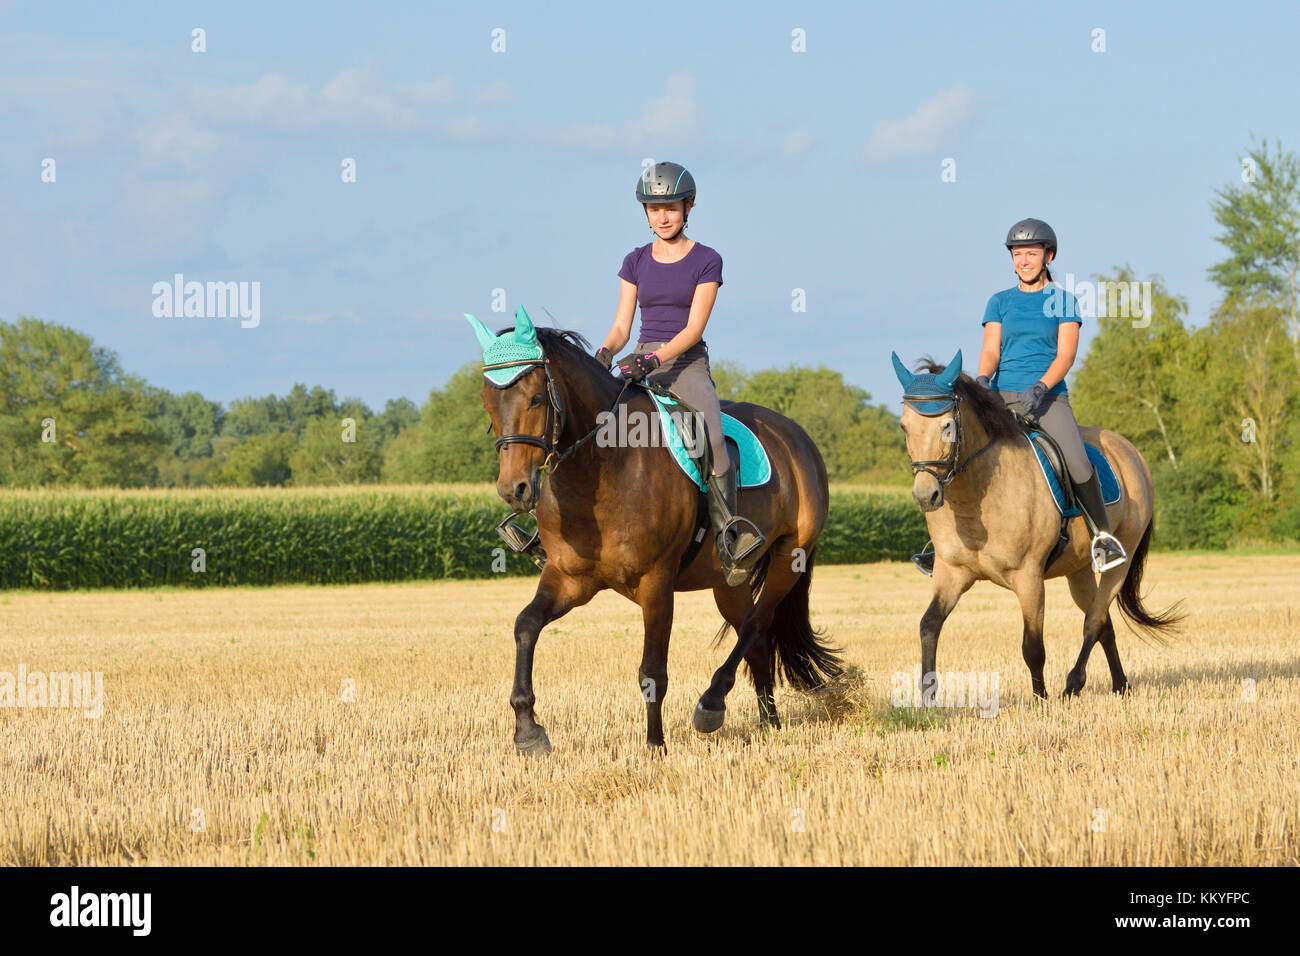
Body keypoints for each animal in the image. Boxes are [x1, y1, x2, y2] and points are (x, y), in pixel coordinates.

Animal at [466, 306, 843, 754]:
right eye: (487, 403)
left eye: (536, 398)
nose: (515, 490)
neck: (602, 467)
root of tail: (797, 437)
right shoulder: (570, 579)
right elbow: (525, 626)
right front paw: (528, 730)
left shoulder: (656, 583)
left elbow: (652, 670)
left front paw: (654, 746)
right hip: (727, 581)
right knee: (758, 640)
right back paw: (770, 723)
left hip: (788, 558)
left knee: (756, 625)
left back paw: (711, 705)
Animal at [891, 350, 1183, 700]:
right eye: (904, 427)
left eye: (947, 426)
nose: (926, 496)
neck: (977, 498)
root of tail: (1130, 451)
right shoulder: (952, 573)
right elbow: (929, 626)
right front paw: (927, 700)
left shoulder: (1029, 577)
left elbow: (1033, 647)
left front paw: (1040, 701)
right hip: (1078, 569)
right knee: (1103, 622)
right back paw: (1120, 685)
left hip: (1119, 559)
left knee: (1095, 620)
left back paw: (1073, 684)